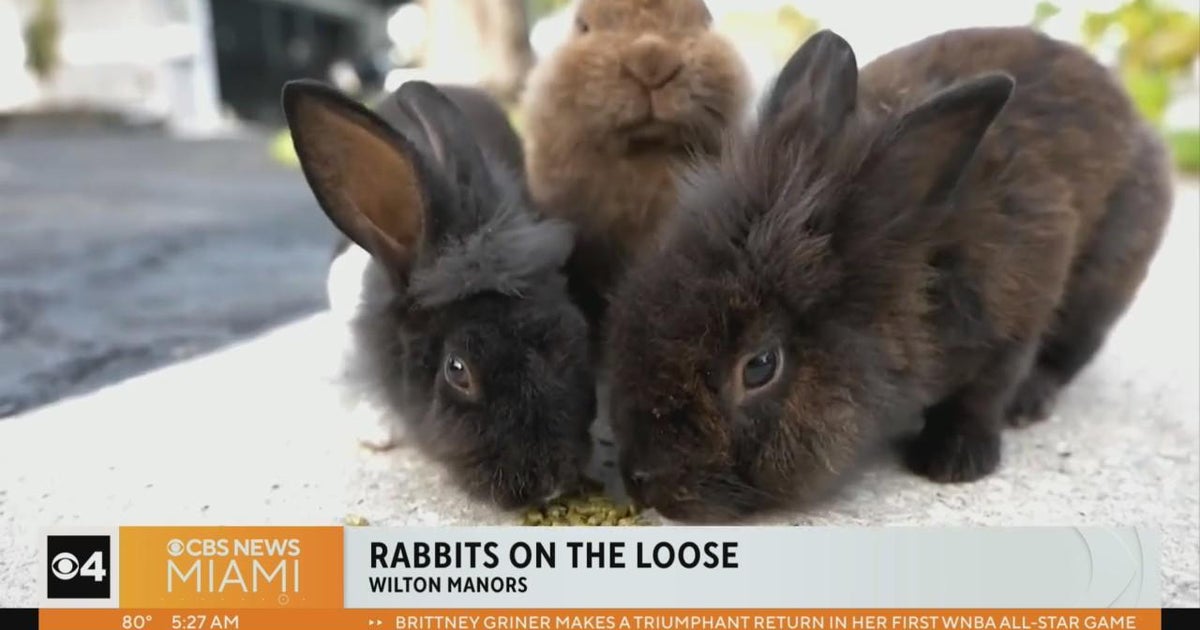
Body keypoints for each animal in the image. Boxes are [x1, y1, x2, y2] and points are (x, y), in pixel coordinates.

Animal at [605, 27, 1173, 522]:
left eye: (760, 366)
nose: (644, 479)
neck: (913, 278)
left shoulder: (1017, 314)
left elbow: (987, 390)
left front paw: (955, 463)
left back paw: (1030, 402)